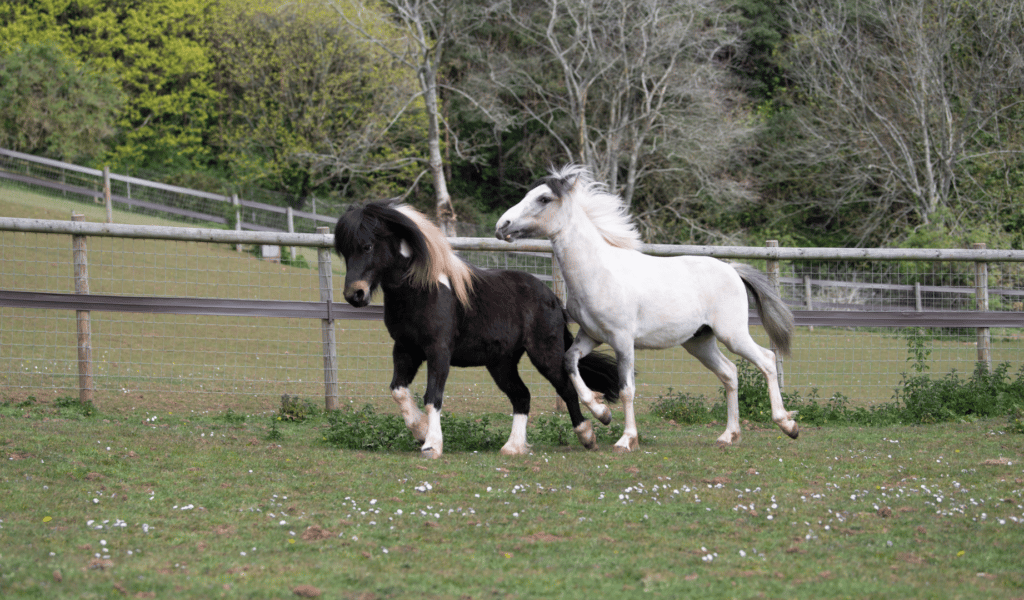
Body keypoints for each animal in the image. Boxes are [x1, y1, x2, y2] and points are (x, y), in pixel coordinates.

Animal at [334, 199, 622, 459]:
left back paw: (590, 432)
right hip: (501, 363)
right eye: (344, 252)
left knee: (566, 388)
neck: (422, 291)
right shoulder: (405, 349)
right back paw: (513, 447)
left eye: (367, 246)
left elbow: (432, 396)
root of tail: (551, 297)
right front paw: (420, 431)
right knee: (522, 396)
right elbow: (398, 391)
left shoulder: (438, 351)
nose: (354, 294)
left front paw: (431, 446)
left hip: (544, 353)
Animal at [495, 164, 798, 451]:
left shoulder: (622, 341)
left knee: (767, 361)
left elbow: (627, 390)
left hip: (732, 334)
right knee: (730, 373)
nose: (502, 225)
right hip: (699, 341)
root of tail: (732, 269)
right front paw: (602, 412)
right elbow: (570, 362)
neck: (599, 273)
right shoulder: (590, 336)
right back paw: (728, 436)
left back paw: (788, 425)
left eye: (544, 198)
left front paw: (626, 439)